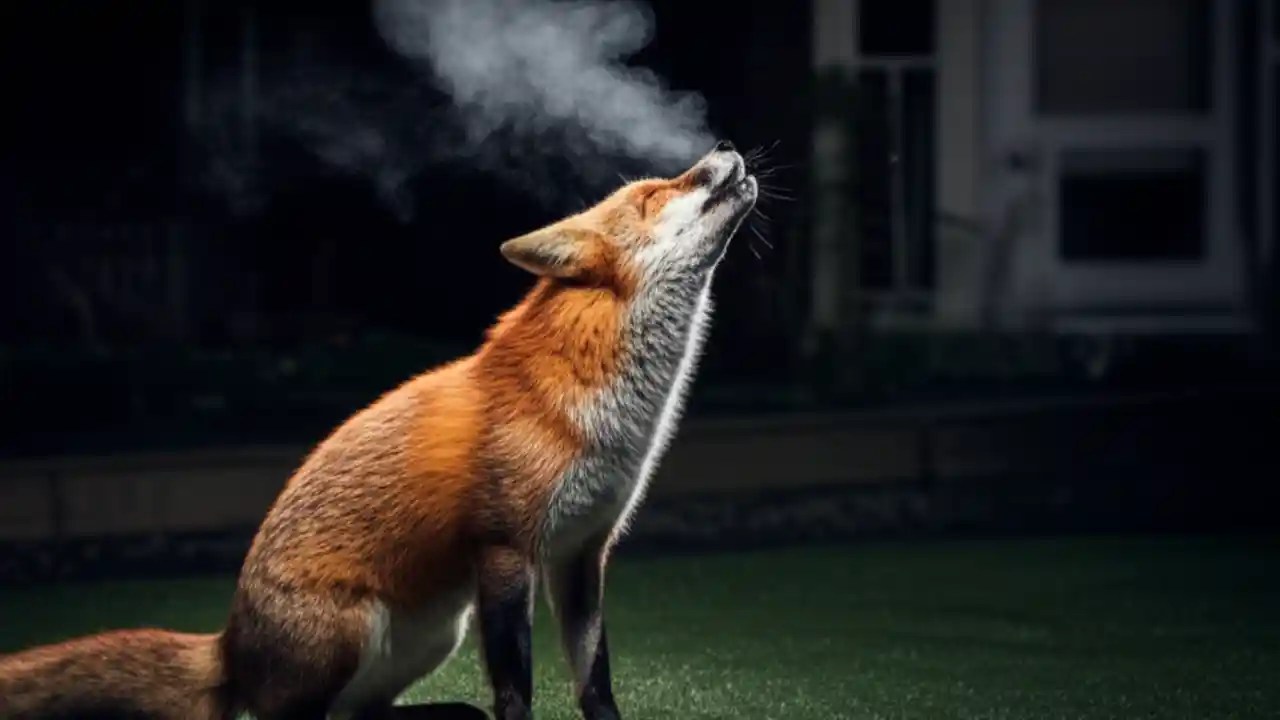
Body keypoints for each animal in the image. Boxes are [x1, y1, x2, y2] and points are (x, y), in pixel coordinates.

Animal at [0, 141, 758, 720]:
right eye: (658, 193)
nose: (722, 145)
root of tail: (231, 640)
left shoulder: (581, 553)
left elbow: (594, 677)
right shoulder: (504, 547)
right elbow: (516, 686)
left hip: (436, 633)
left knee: (360, 715)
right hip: (357, 630)